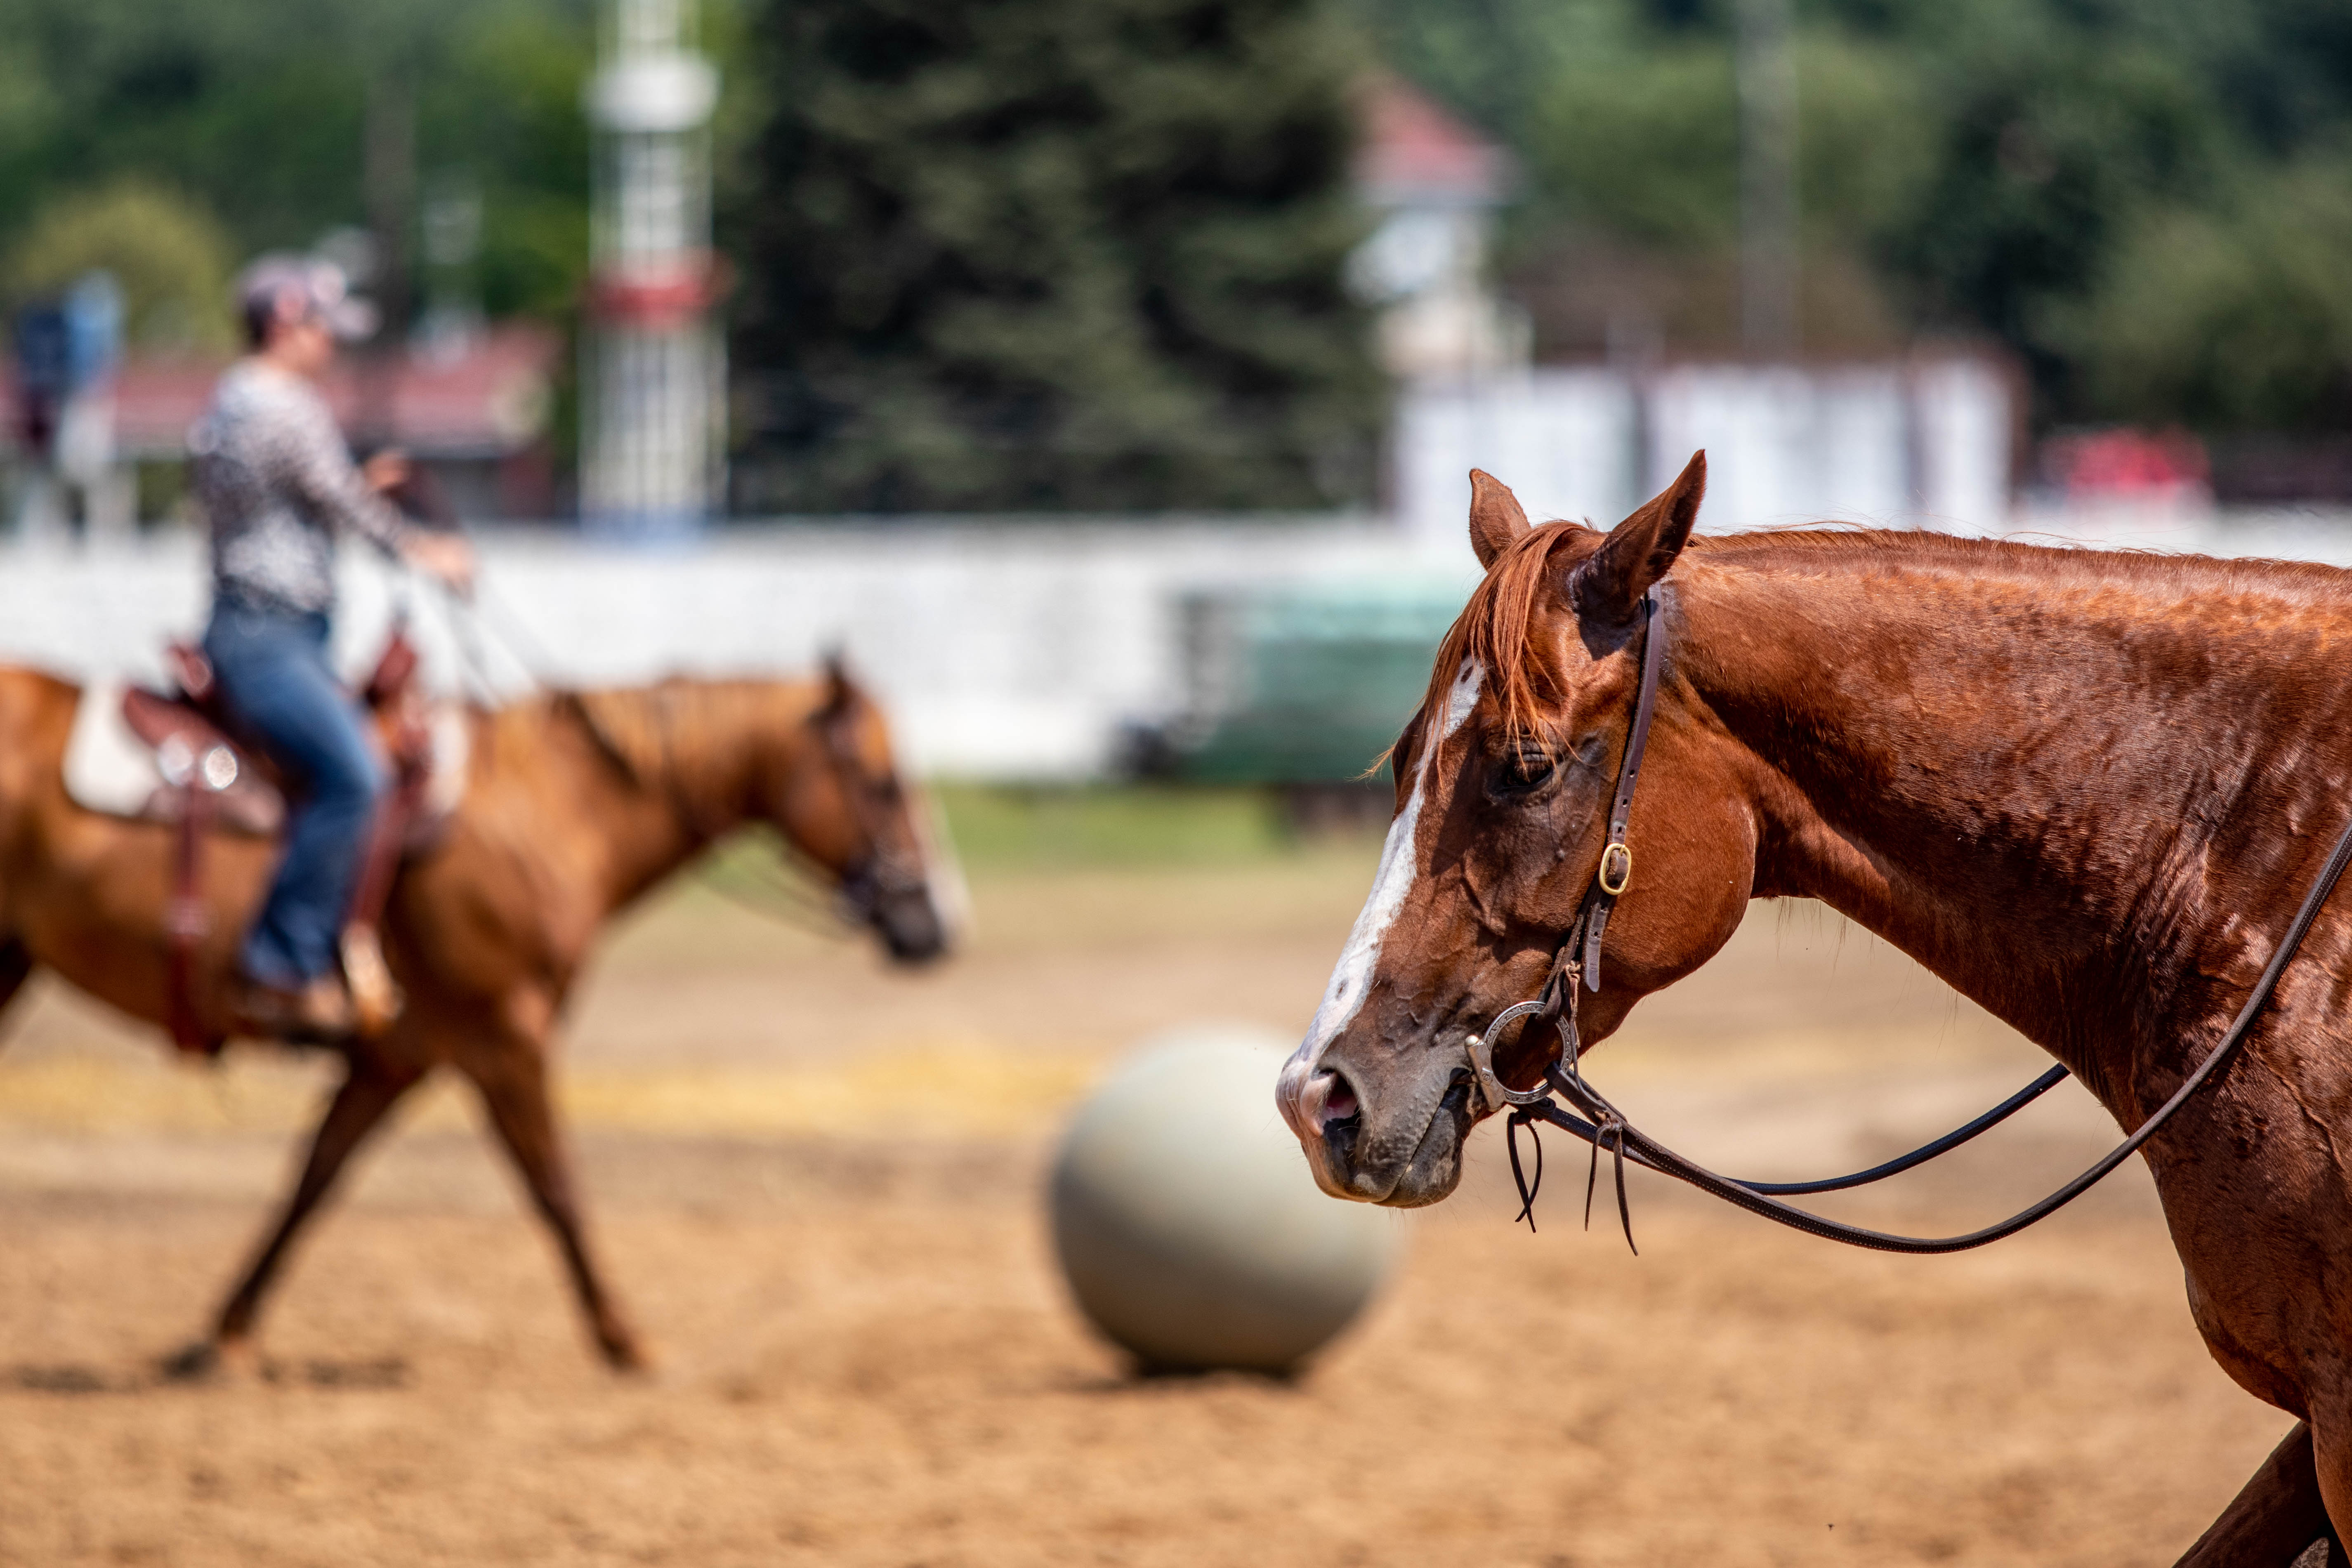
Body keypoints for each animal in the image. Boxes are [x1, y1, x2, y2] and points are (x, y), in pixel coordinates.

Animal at [0, 660, 956, 1373]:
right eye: (883, 781)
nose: (938, 922)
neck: (549, 809)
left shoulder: (399, 1055)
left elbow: (314, 1180)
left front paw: (226, 1335)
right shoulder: (505, 1037)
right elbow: (556, 1186)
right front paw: (626, 1340)